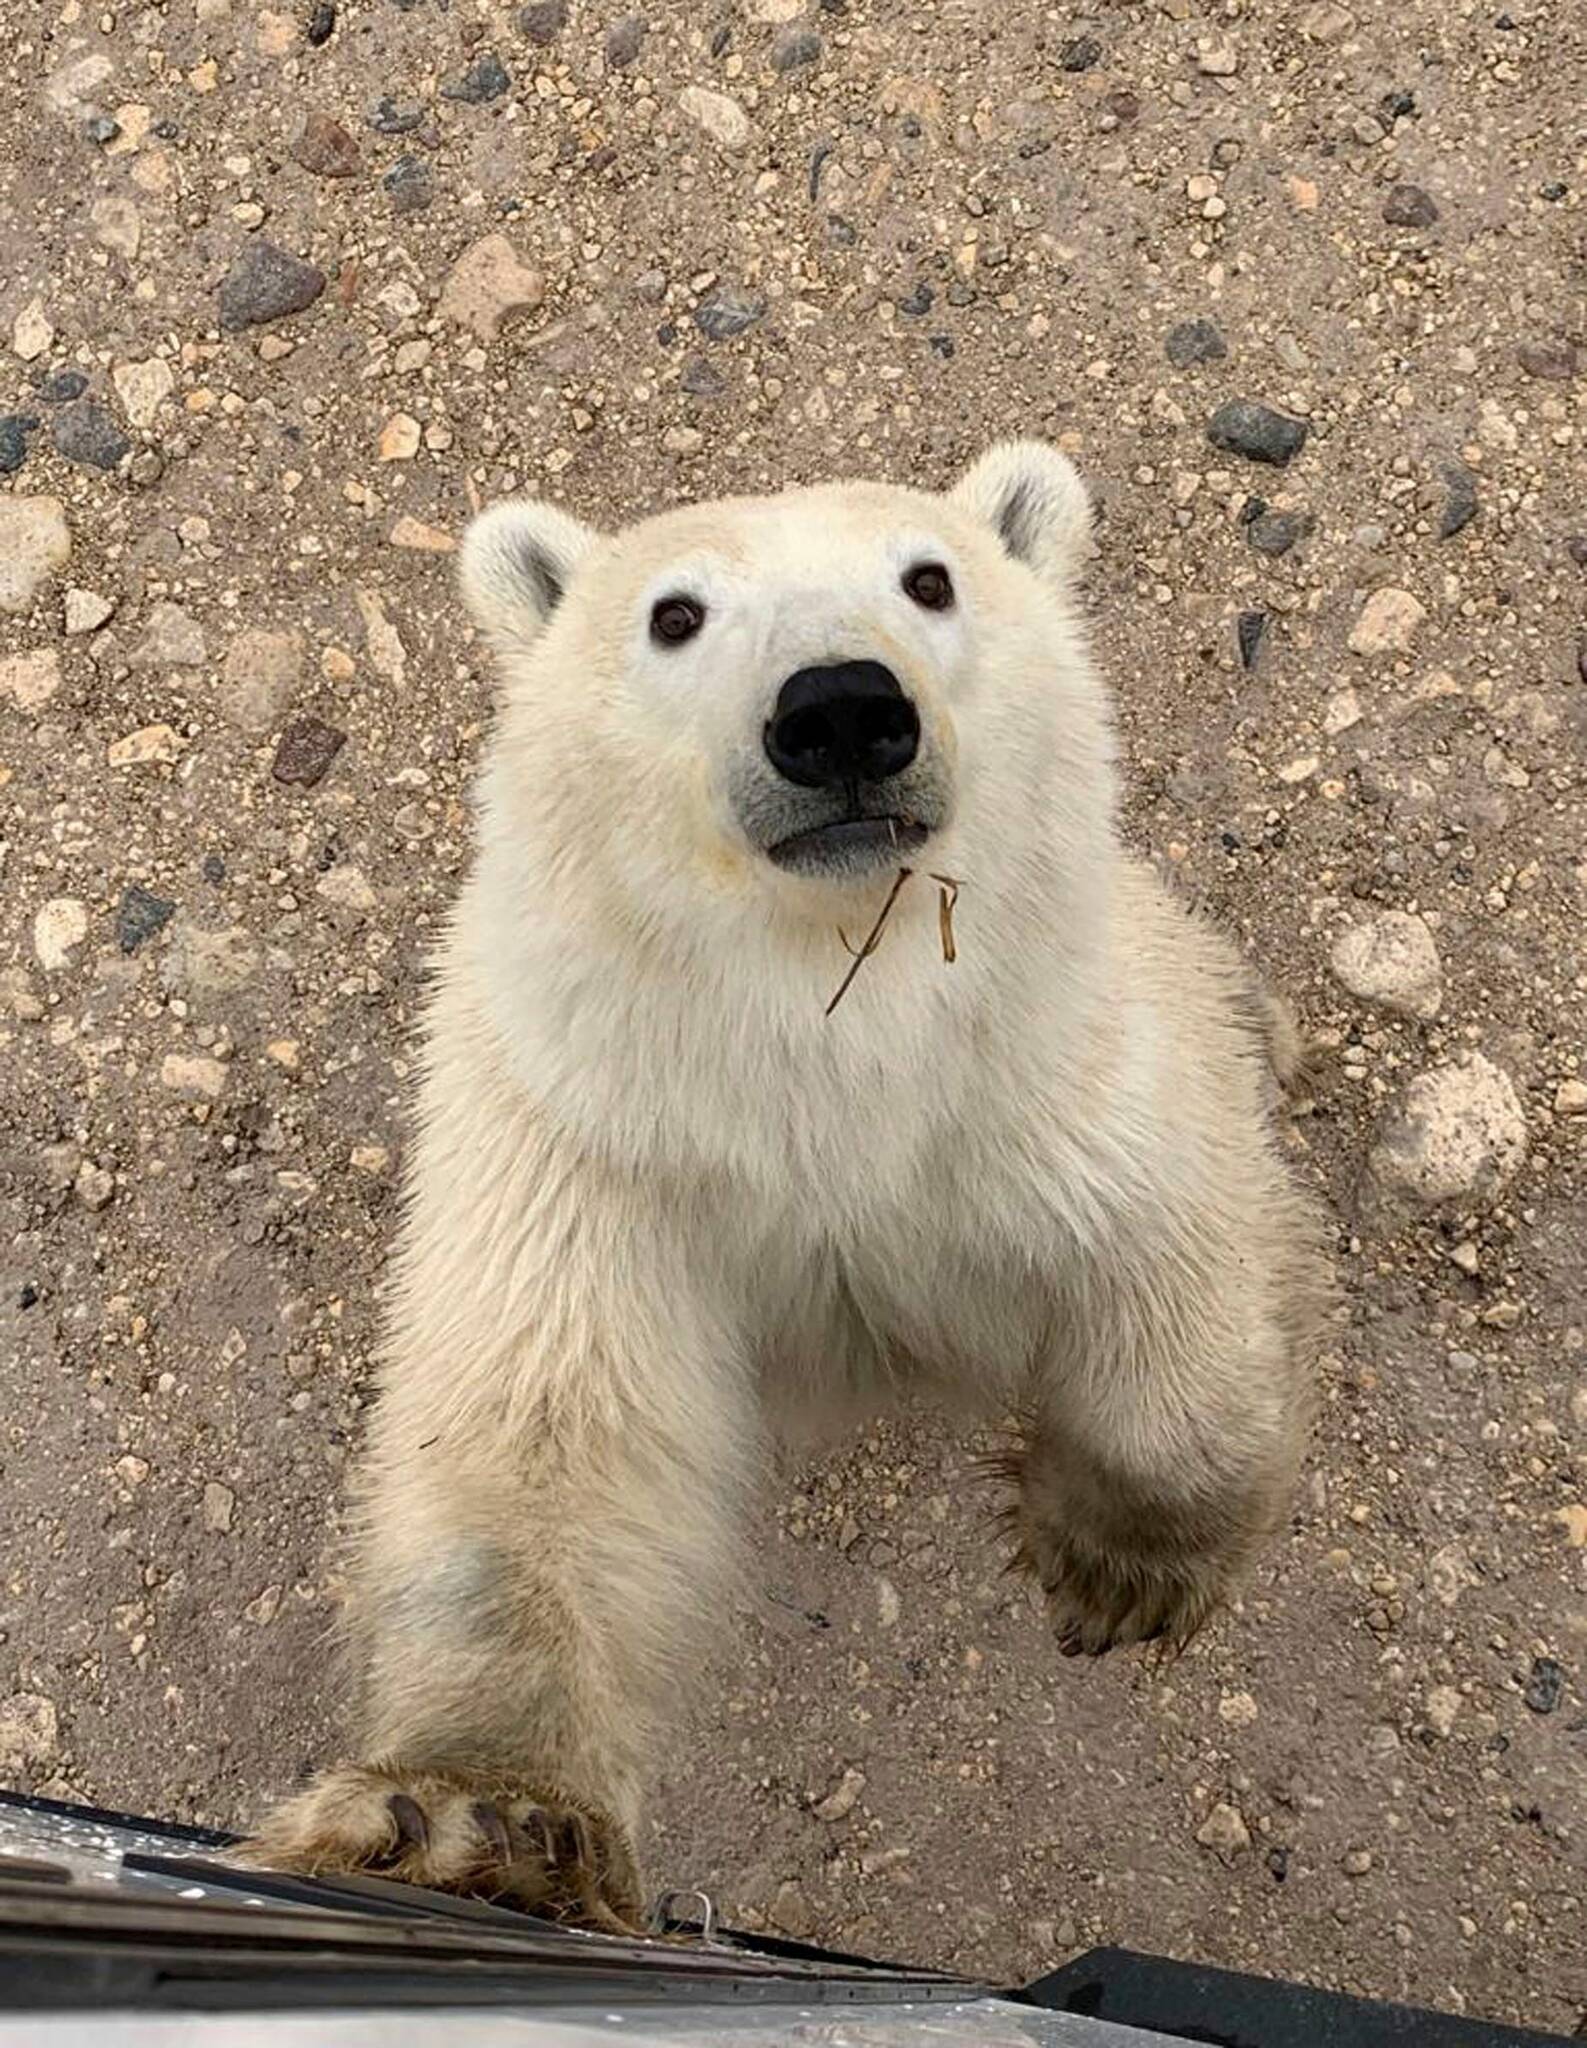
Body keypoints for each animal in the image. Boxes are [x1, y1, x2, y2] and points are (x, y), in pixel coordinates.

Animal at [242, 442, 1330, 1930]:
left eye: (928, 578)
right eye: (674, 614)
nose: (839, 712)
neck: (829, 1017)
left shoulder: (1057, 1062)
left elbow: (1172, 1268)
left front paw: (1111, 1571)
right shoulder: (593, 1125)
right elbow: (541, 1439)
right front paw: (475, 1822)